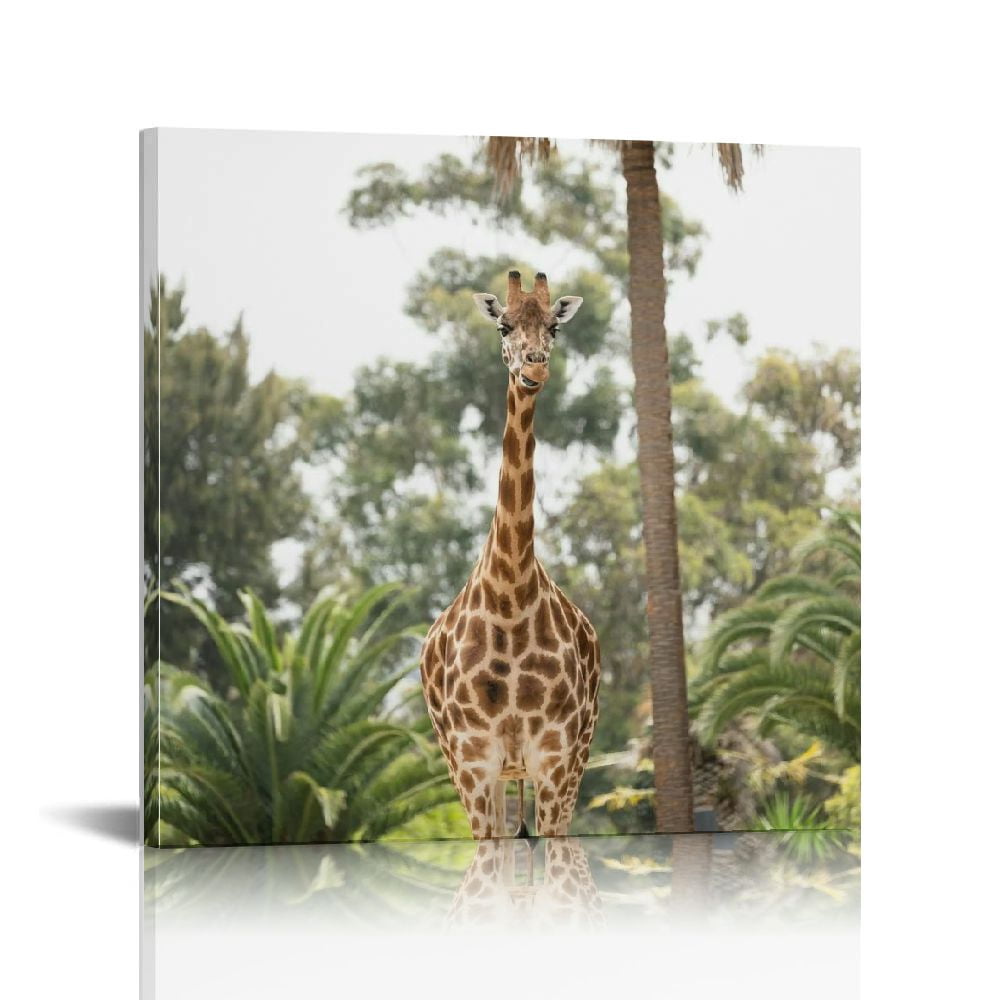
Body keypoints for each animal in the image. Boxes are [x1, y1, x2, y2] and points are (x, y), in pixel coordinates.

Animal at [420, 269, 601, 840]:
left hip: (572, 757)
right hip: (472, 767)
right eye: (503, 325)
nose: (534, 365)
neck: (511, 594)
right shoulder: (473, 761)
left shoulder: (557, 759)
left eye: (554, 328)